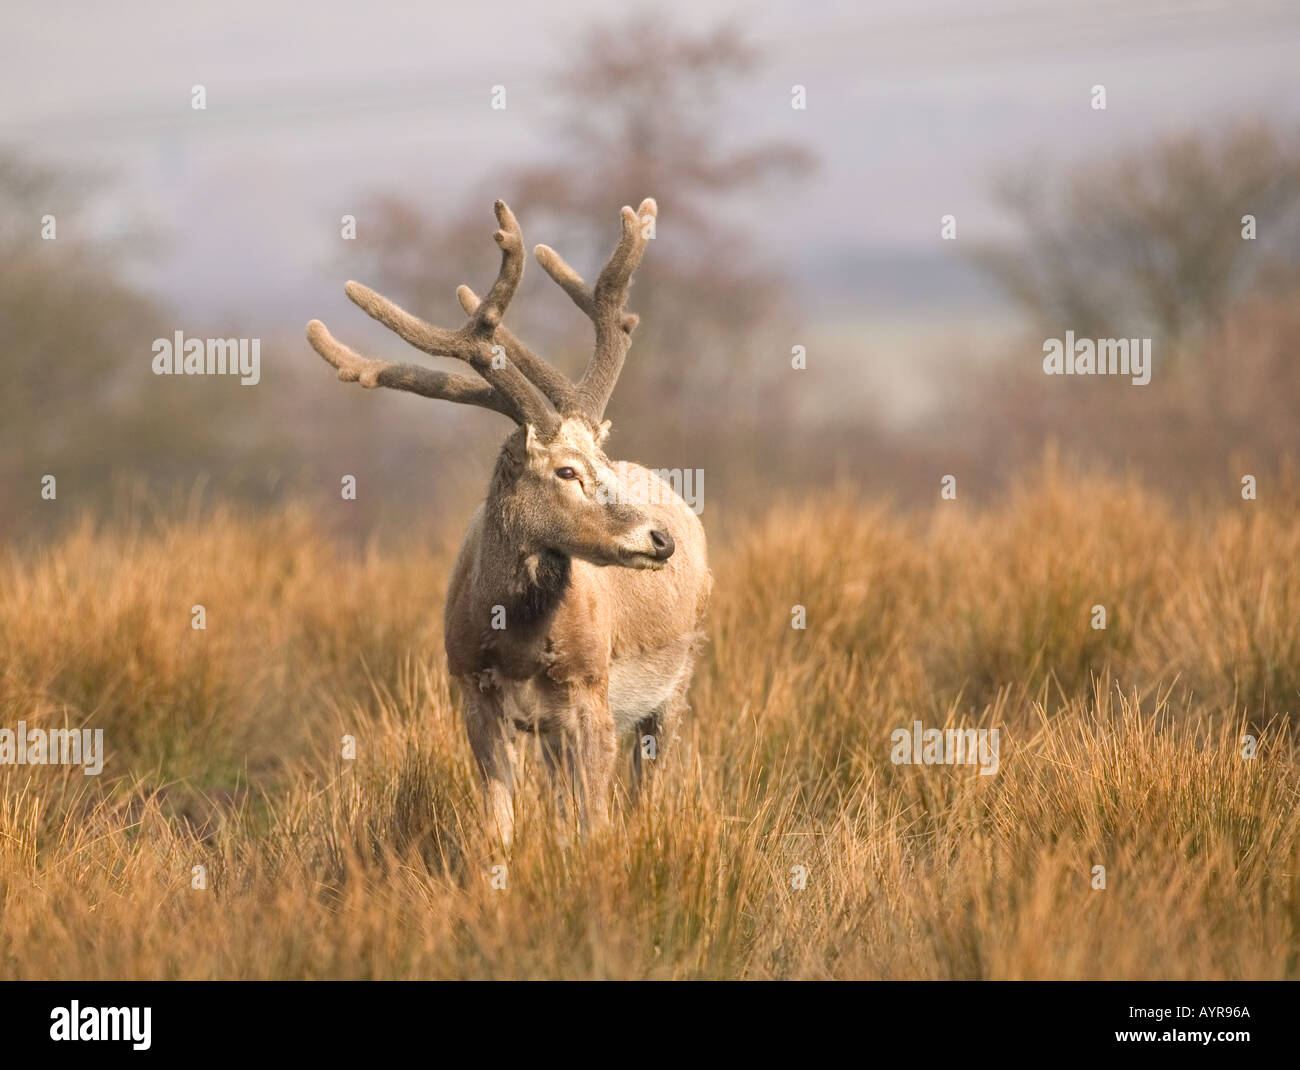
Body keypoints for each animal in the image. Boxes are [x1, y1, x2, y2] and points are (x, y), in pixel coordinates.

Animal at [305, 198, 710, 846]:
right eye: (567, 470)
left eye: (600, 461)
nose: (659, 539)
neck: (517, 641)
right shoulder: (473, 690)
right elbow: (500, 825)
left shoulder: (591, 690)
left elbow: (597, 826)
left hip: (679, 676)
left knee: (647, 787)